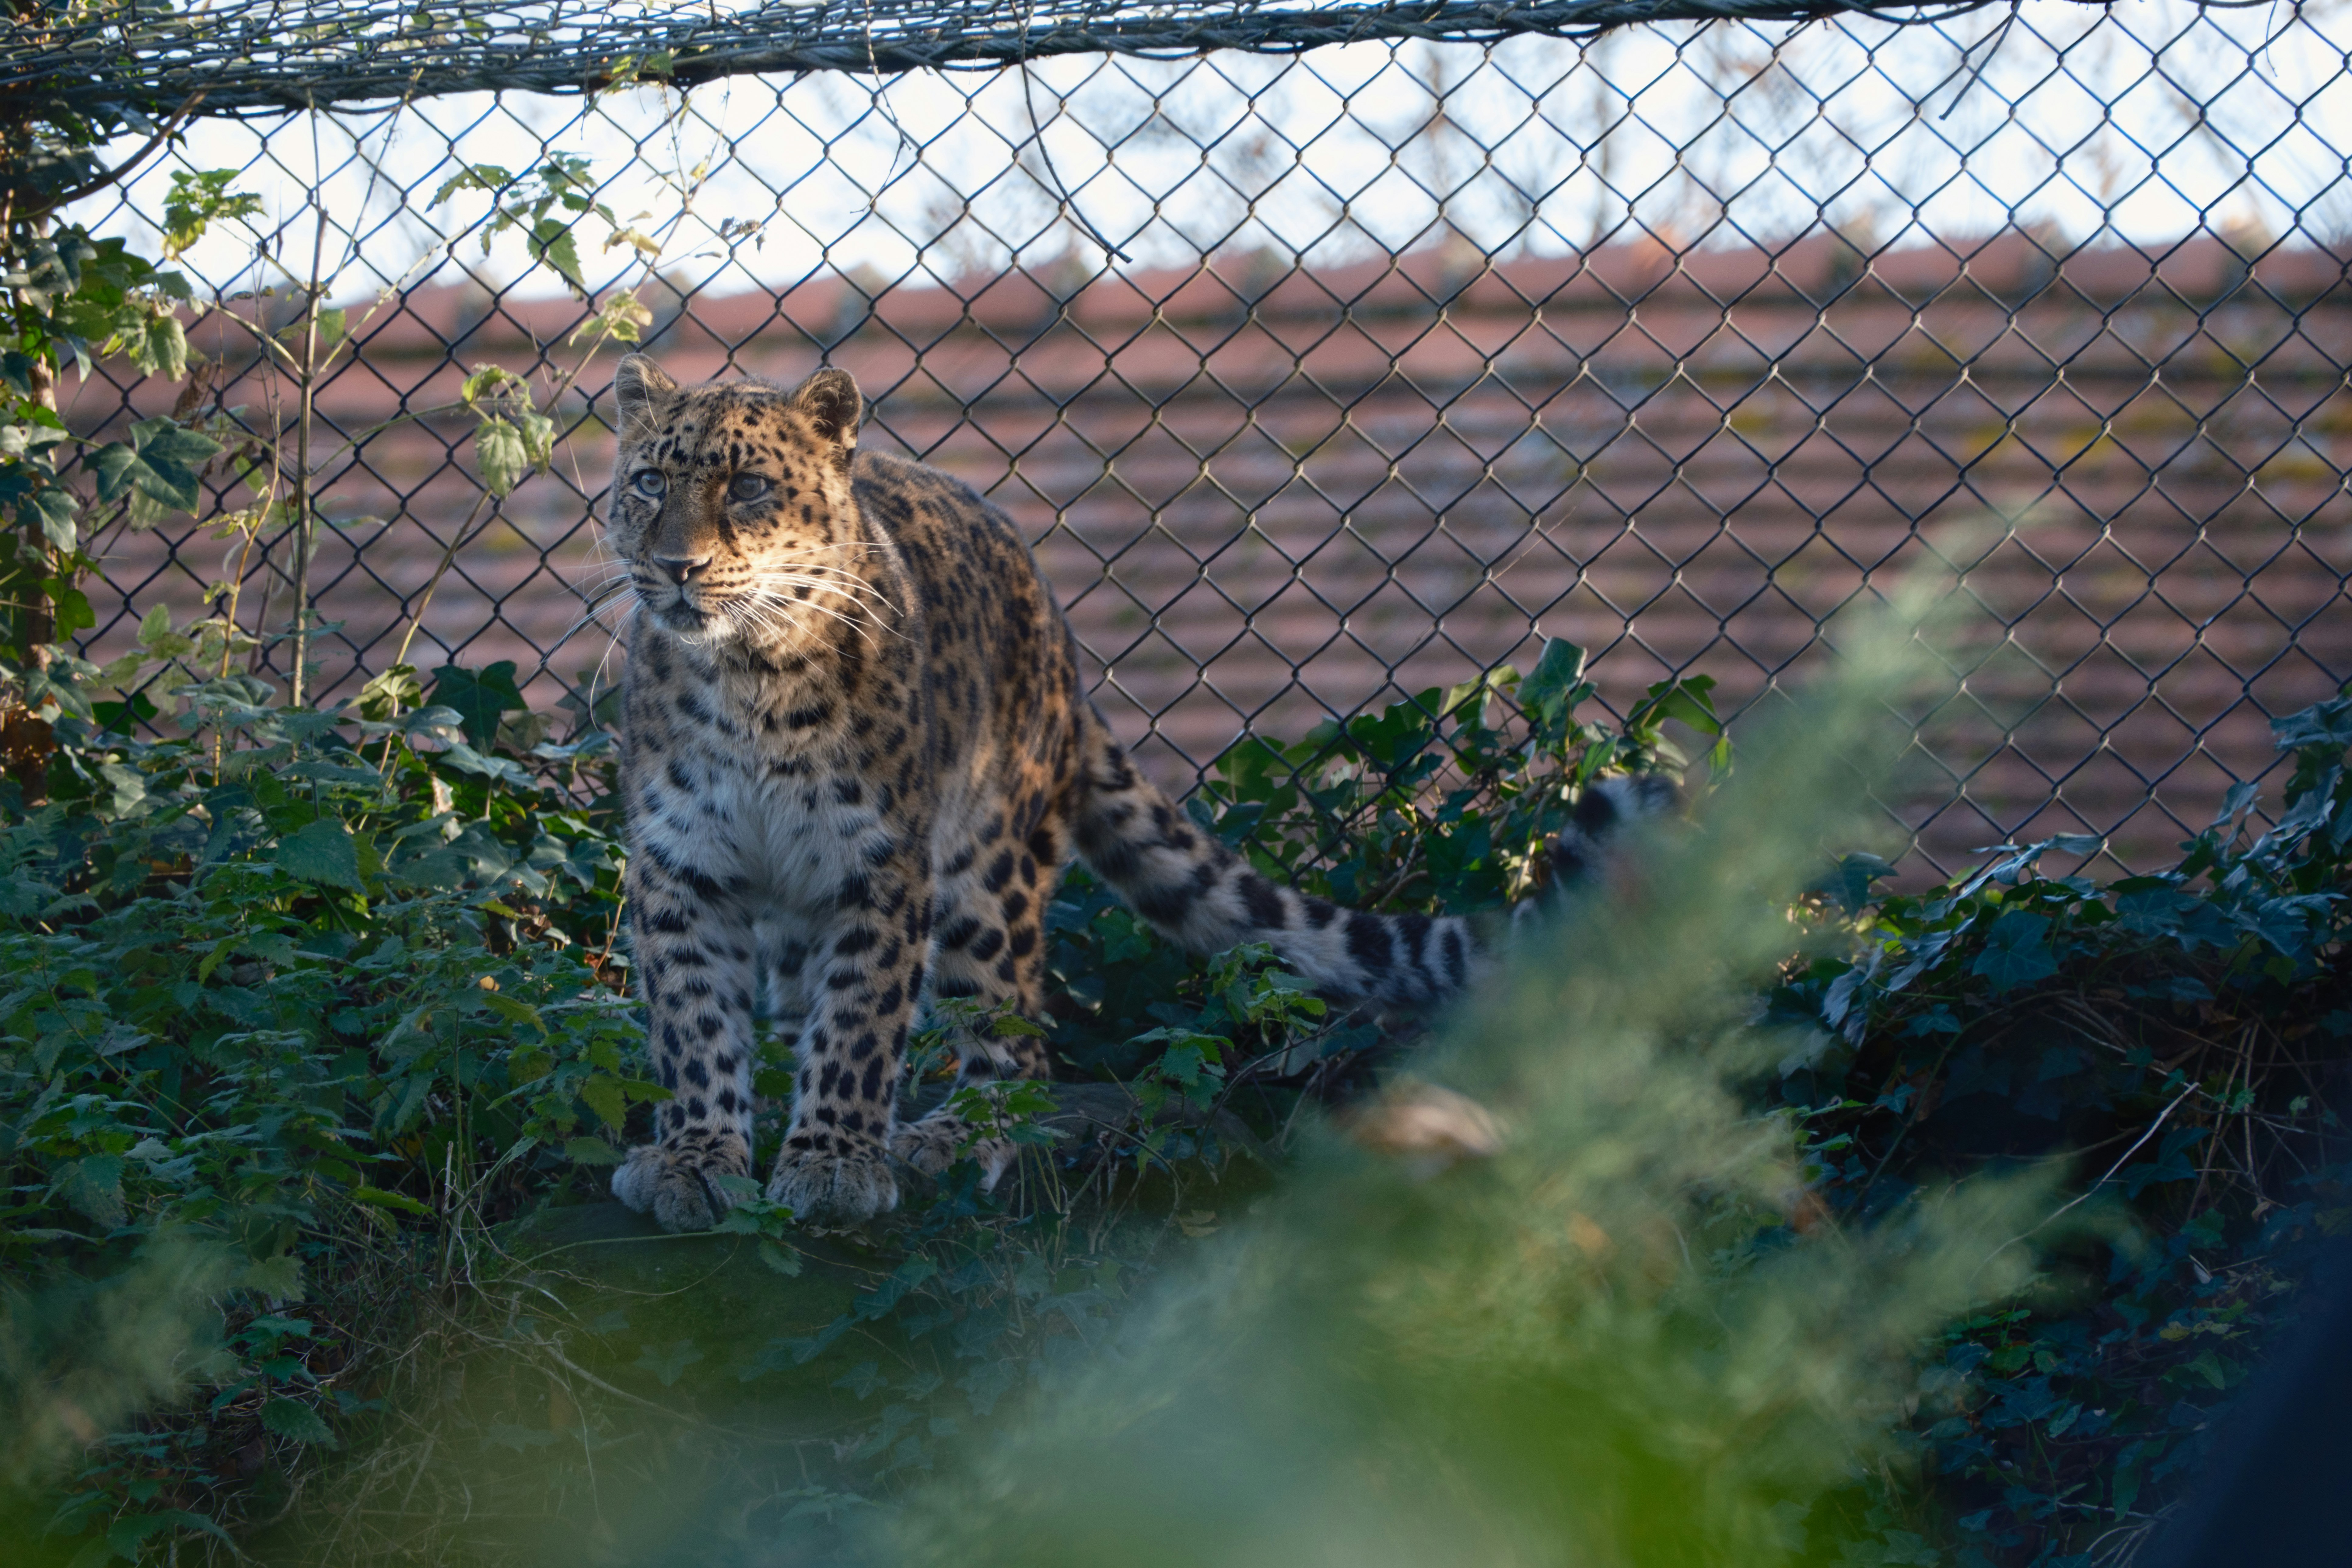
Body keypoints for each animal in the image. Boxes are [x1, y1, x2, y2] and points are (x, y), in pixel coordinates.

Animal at [600, 354, 1670, 1230]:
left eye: (747, 488)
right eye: (650, 482)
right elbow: (694, 1022)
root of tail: (1056, 629)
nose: (676, 566)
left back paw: (955, 1137)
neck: (747, 681)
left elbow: (862, 1019)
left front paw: (831, 1164)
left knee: (1018, 1039)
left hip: (984, 870)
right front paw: (696, 1157)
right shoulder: (681, 862)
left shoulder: (881, 863)